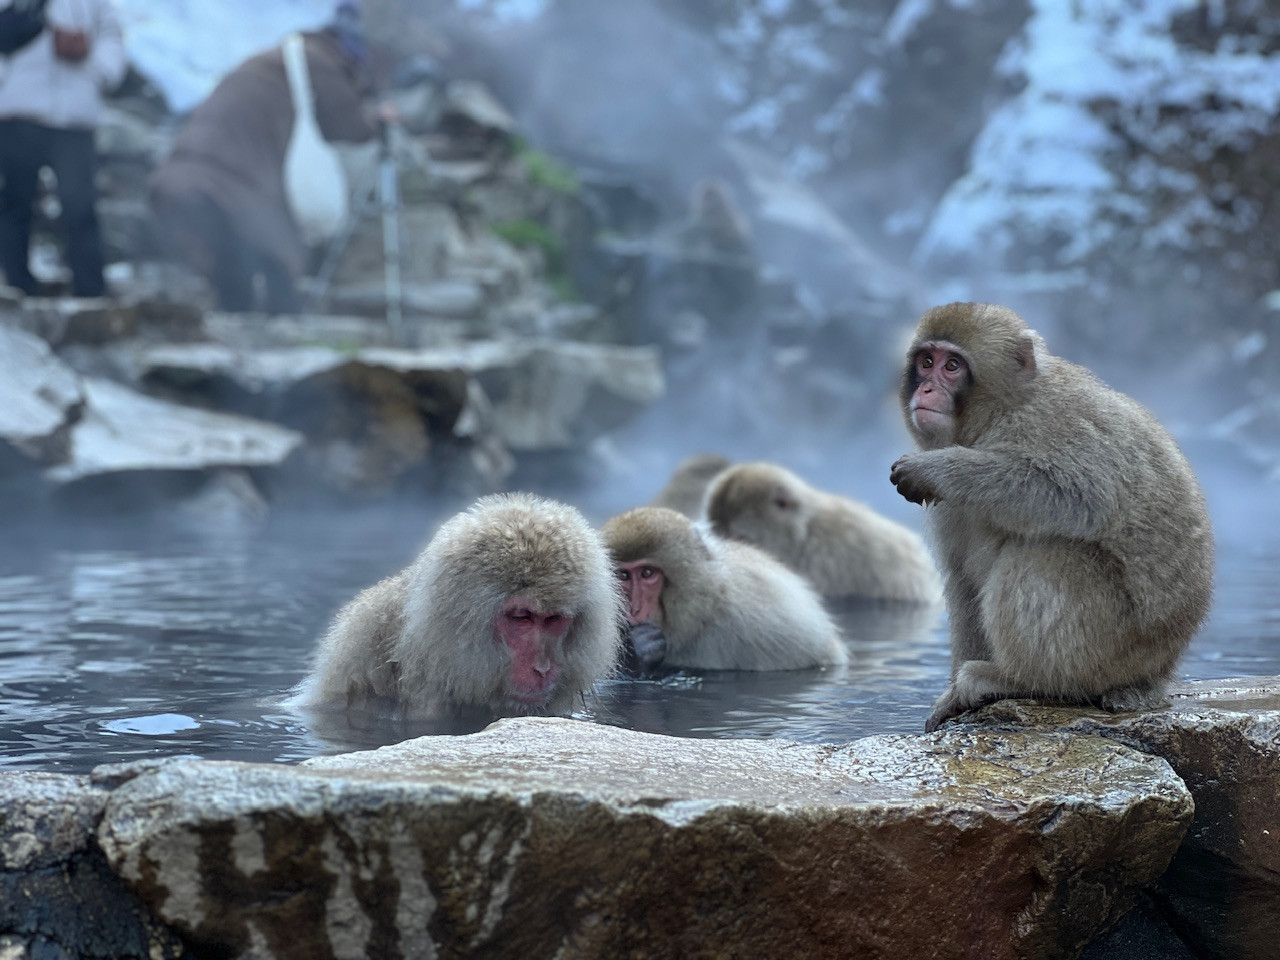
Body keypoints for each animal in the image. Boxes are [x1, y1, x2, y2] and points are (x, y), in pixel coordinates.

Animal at [889, 302, 1214, 732]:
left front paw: (940, 468)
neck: (1000, 412)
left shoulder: (1049, 423)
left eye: (952, 366)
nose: (925, 389)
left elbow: (1081, 497)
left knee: (1042, 552)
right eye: (926, 362)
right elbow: (961, 579)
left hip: (1113, 649)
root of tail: (1160, 670)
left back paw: (1018, 679)